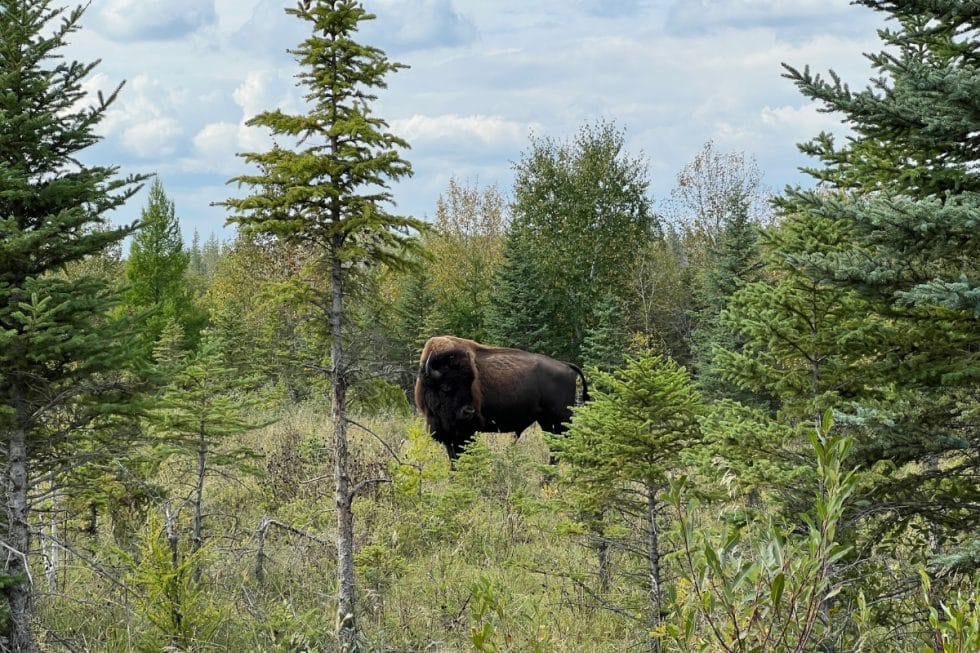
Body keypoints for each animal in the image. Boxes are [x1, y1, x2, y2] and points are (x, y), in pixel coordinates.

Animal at [414, 335, 589, 460]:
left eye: (470, 383)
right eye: (446, 387)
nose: (468, 412)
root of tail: (566, 366)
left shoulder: (464, 434)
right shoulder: (448, 435)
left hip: (561, 420)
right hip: (546, 421)